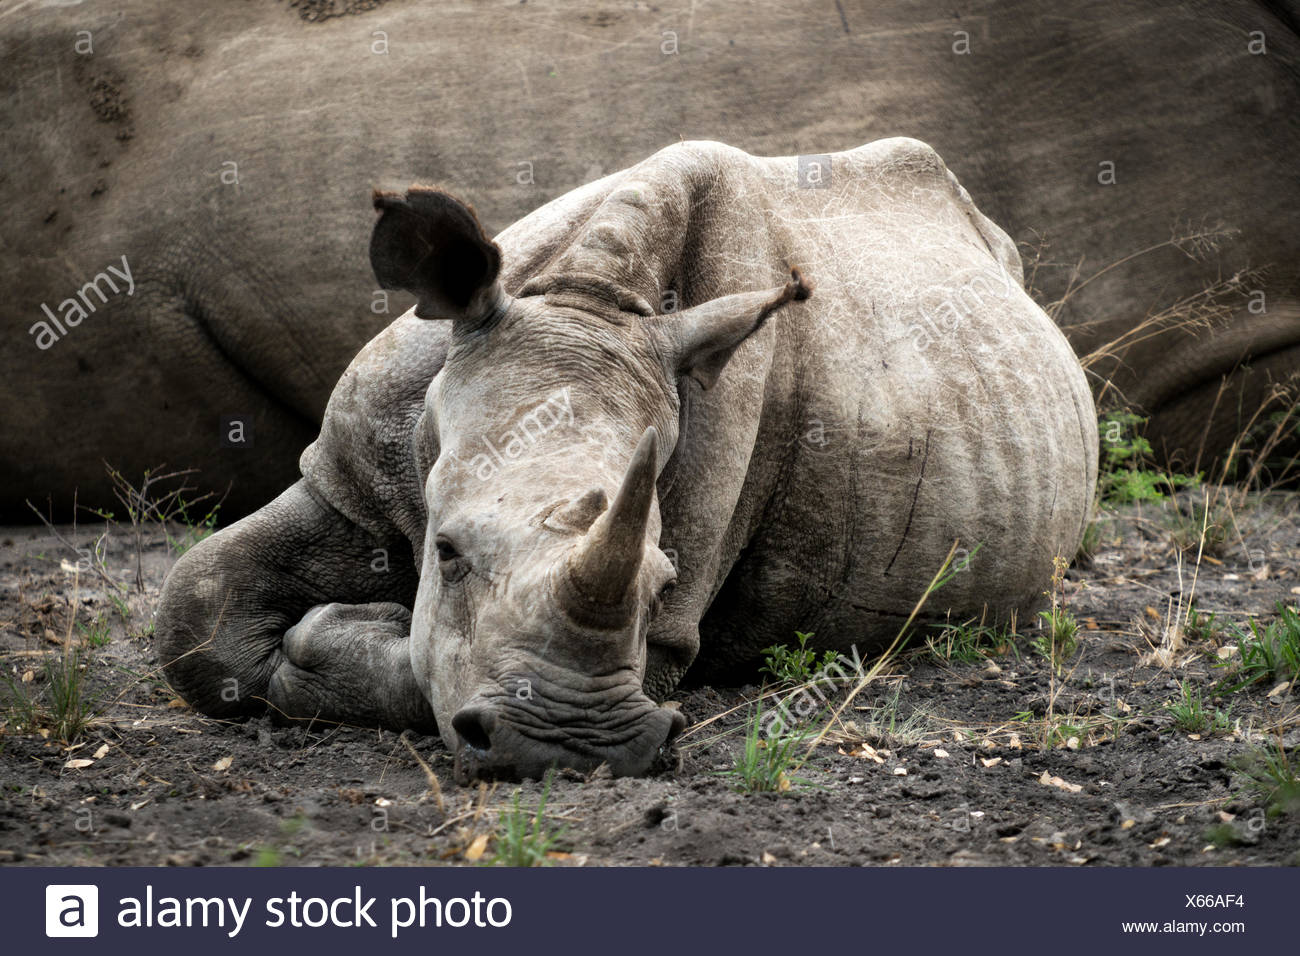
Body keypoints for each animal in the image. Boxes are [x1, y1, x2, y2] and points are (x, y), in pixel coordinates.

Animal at [157, 138, 1097, 780]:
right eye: (446, 554)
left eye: (661, 579)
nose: (572, 748)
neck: (588, 300)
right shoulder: (347, 475)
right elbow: (194, 614)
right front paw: (367, 626)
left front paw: (362, 630)